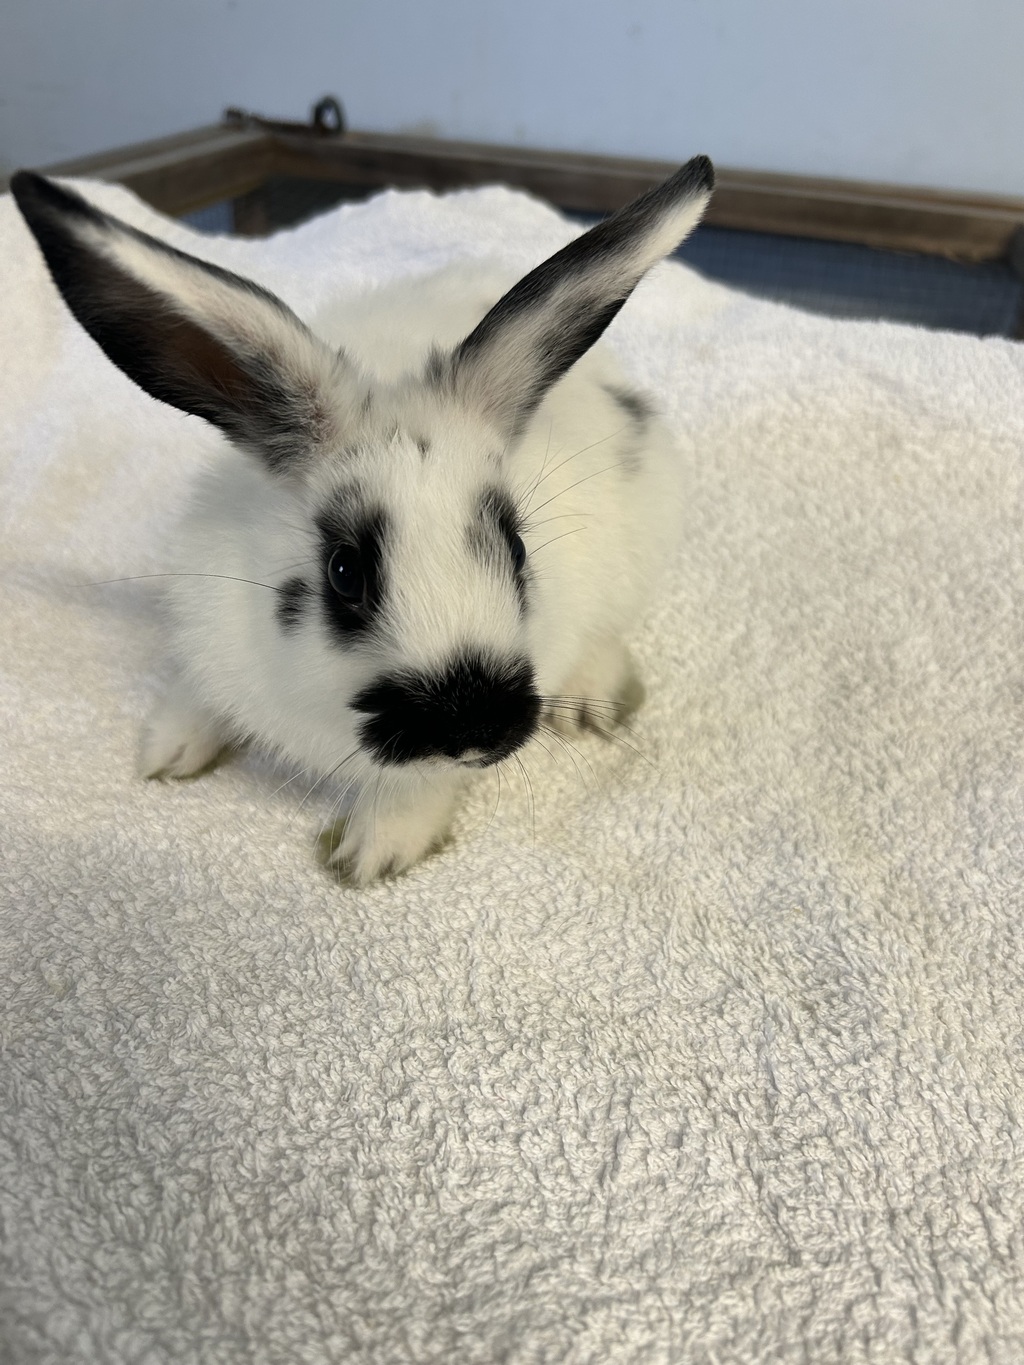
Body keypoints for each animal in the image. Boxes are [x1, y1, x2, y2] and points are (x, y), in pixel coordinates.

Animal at [11, 156, 713, 884]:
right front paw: (168, 748)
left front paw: (370, 852)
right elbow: (201, 692)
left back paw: (593, 703)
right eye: (345, 571)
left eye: (518, 549)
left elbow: (417, 787)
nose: (473, 731)